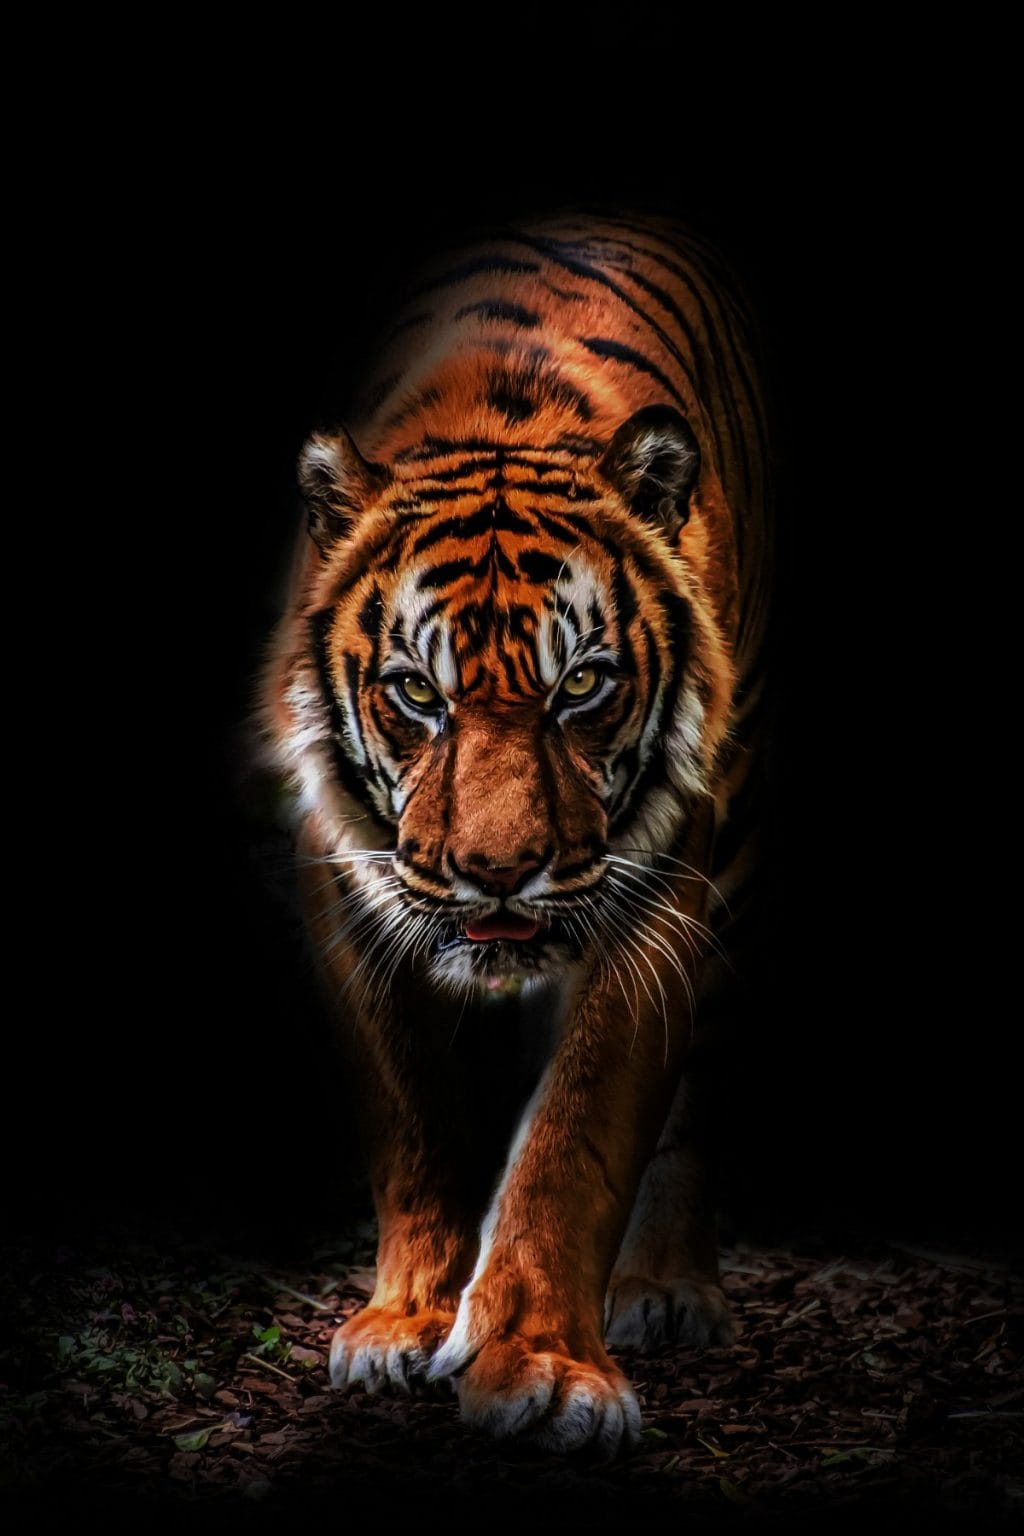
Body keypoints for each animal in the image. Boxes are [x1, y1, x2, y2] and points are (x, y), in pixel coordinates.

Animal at [255, 211, 770, 1456]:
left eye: (579, 685)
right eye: (416, 691)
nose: (498, 874)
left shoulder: (663, 884)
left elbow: (575, 1137)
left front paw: (540, 1368)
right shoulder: (338, 872)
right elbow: (412, 1116)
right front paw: (405, 1322)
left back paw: (663, 1287)